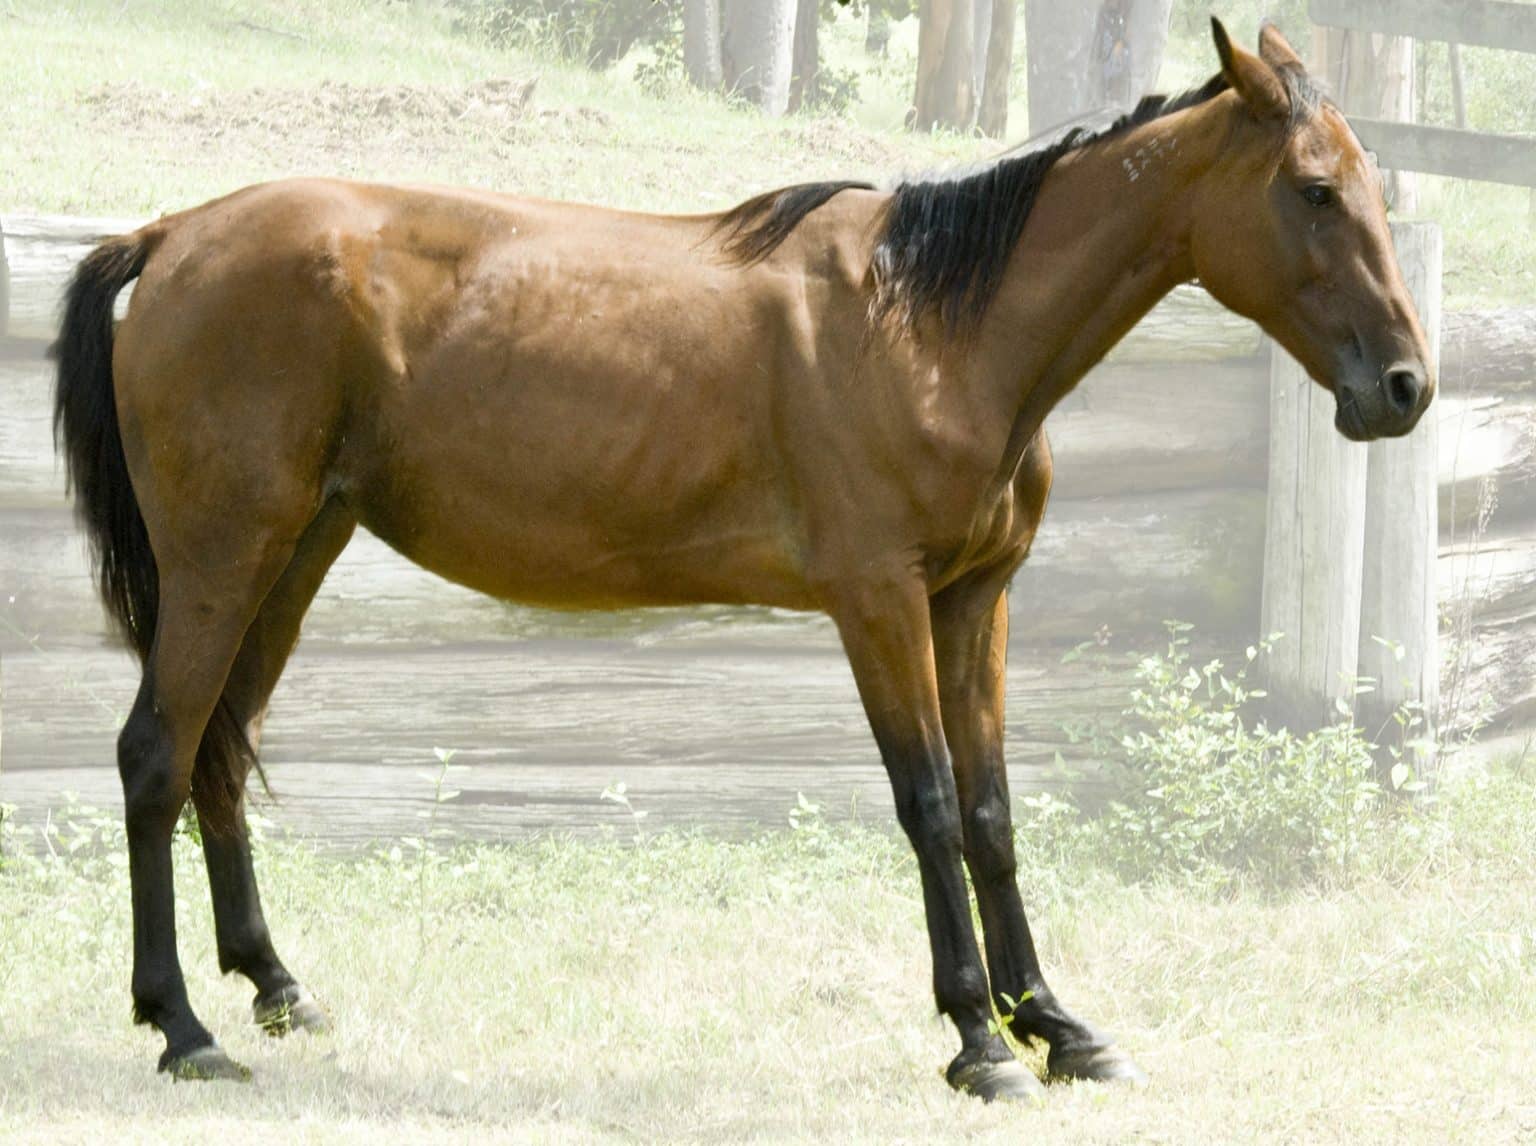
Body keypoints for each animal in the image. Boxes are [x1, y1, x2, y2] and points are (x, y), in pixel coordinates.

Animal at [54, 19, 1432, 1099]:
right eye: (1314, 189)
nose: (1405, 387)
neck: (934, 327)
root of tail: (170, 236)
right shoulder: (879, 603)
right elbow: (930, 805)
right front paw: (980, 1042)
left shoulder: (970, 603)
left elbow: (991, 810)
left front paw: (1058, 1025)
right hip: (224, 559)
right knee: (157, 755)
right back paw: (183, 1029)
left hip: (293, 555)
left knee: (220, 751)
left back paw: (276, 990)